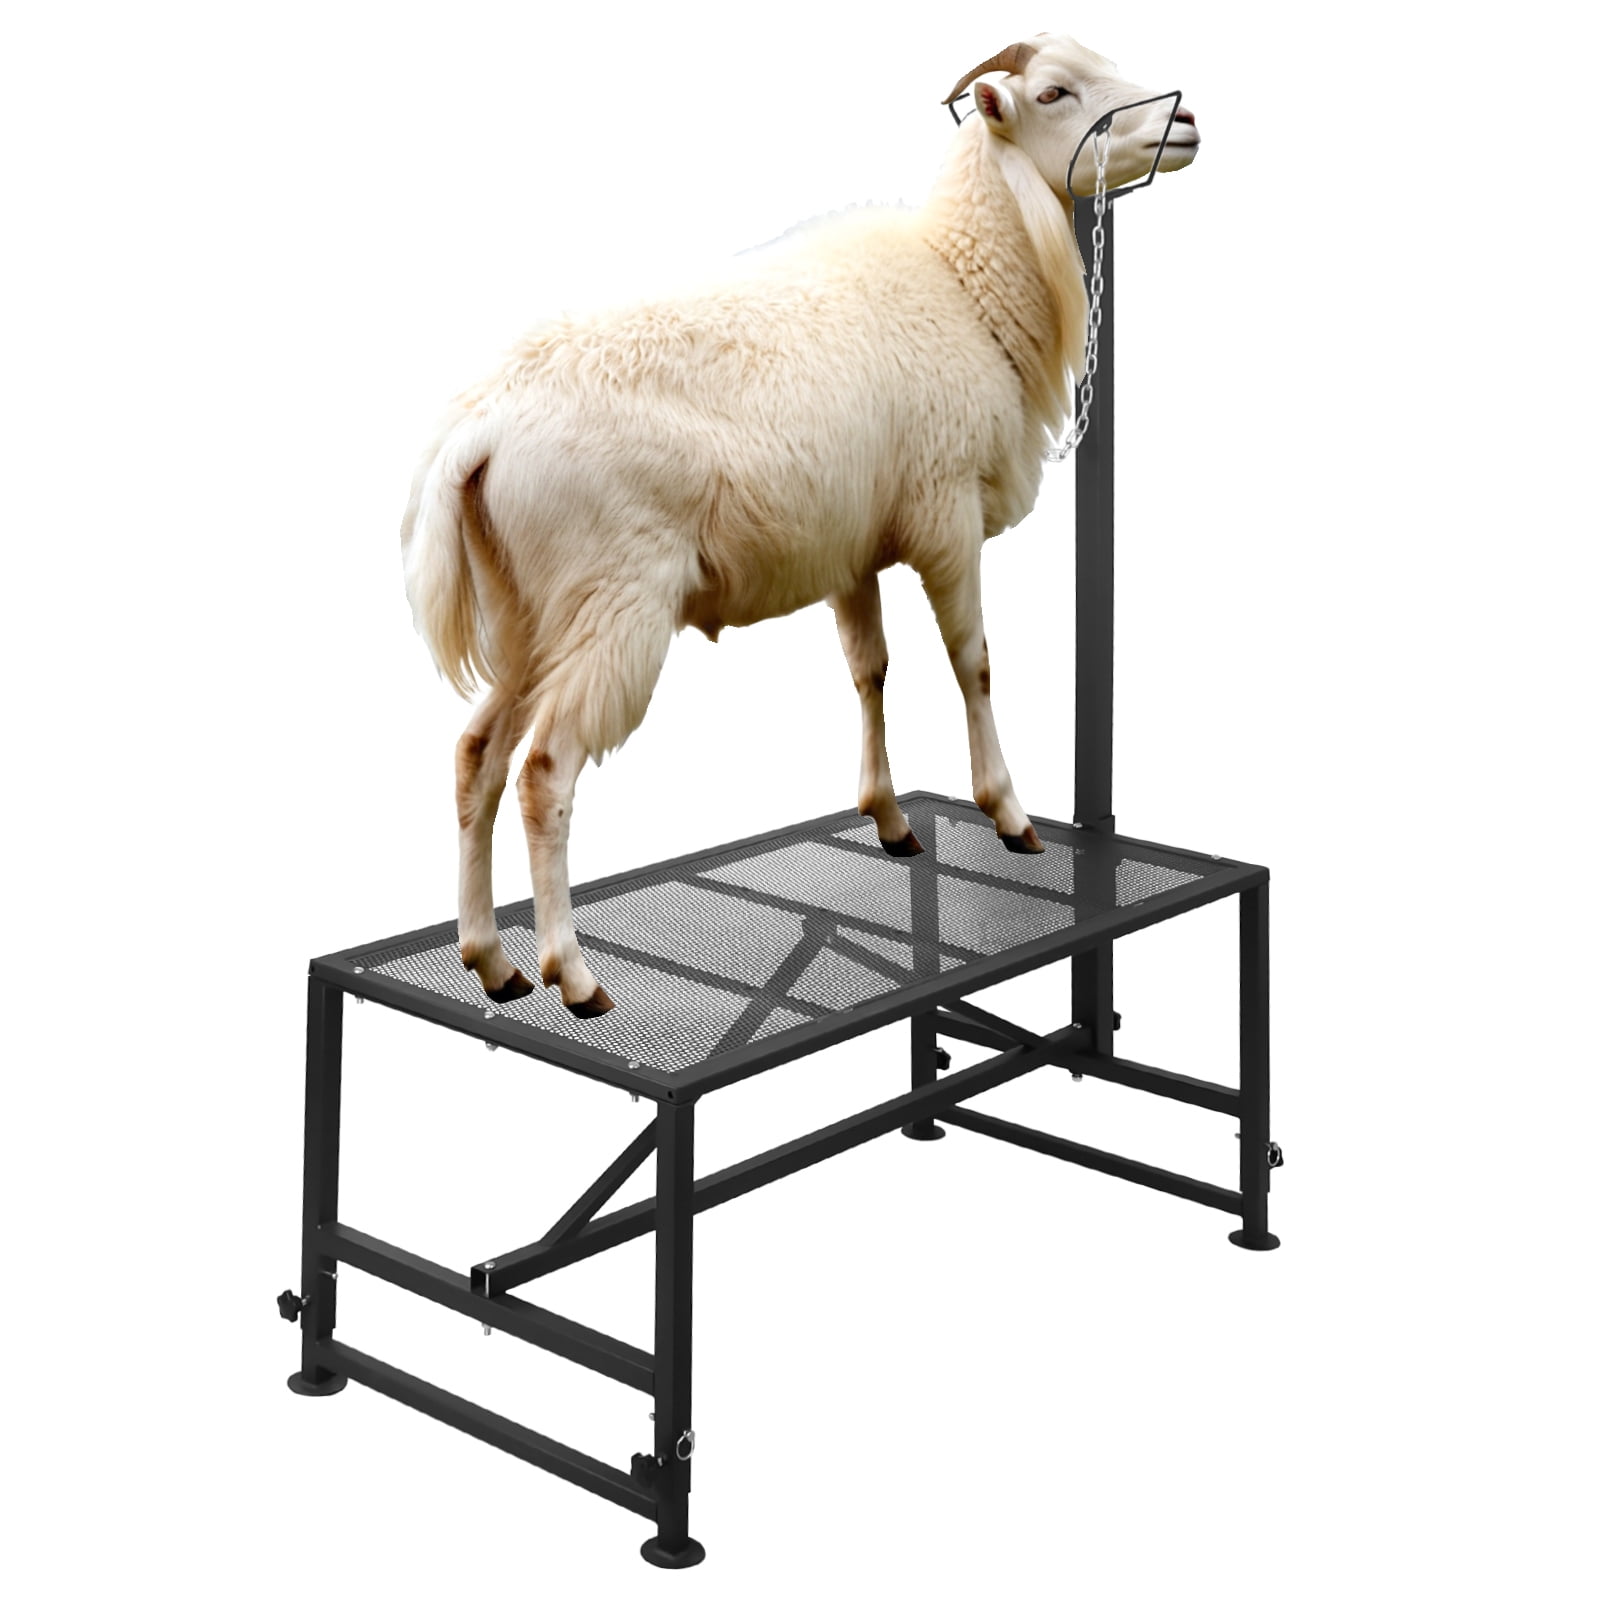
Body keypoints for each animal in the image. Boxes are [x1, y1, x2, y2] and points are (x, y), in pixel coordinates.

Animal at [401, 32, 1199, 1015]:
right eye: (1054, 93)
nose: (1185, 120)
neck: (965, 278)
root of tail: (480, 427)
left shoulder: (852, 548)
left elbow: (870, 671)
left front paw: (890, 818)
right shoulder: (947, 513)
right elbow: (972, 663)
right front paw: (1009, 814)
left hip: (530, 612)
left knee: (476, 754)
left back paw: (490, 960)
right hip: (612, 599)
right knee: (545, 769)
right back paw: (573, 975)